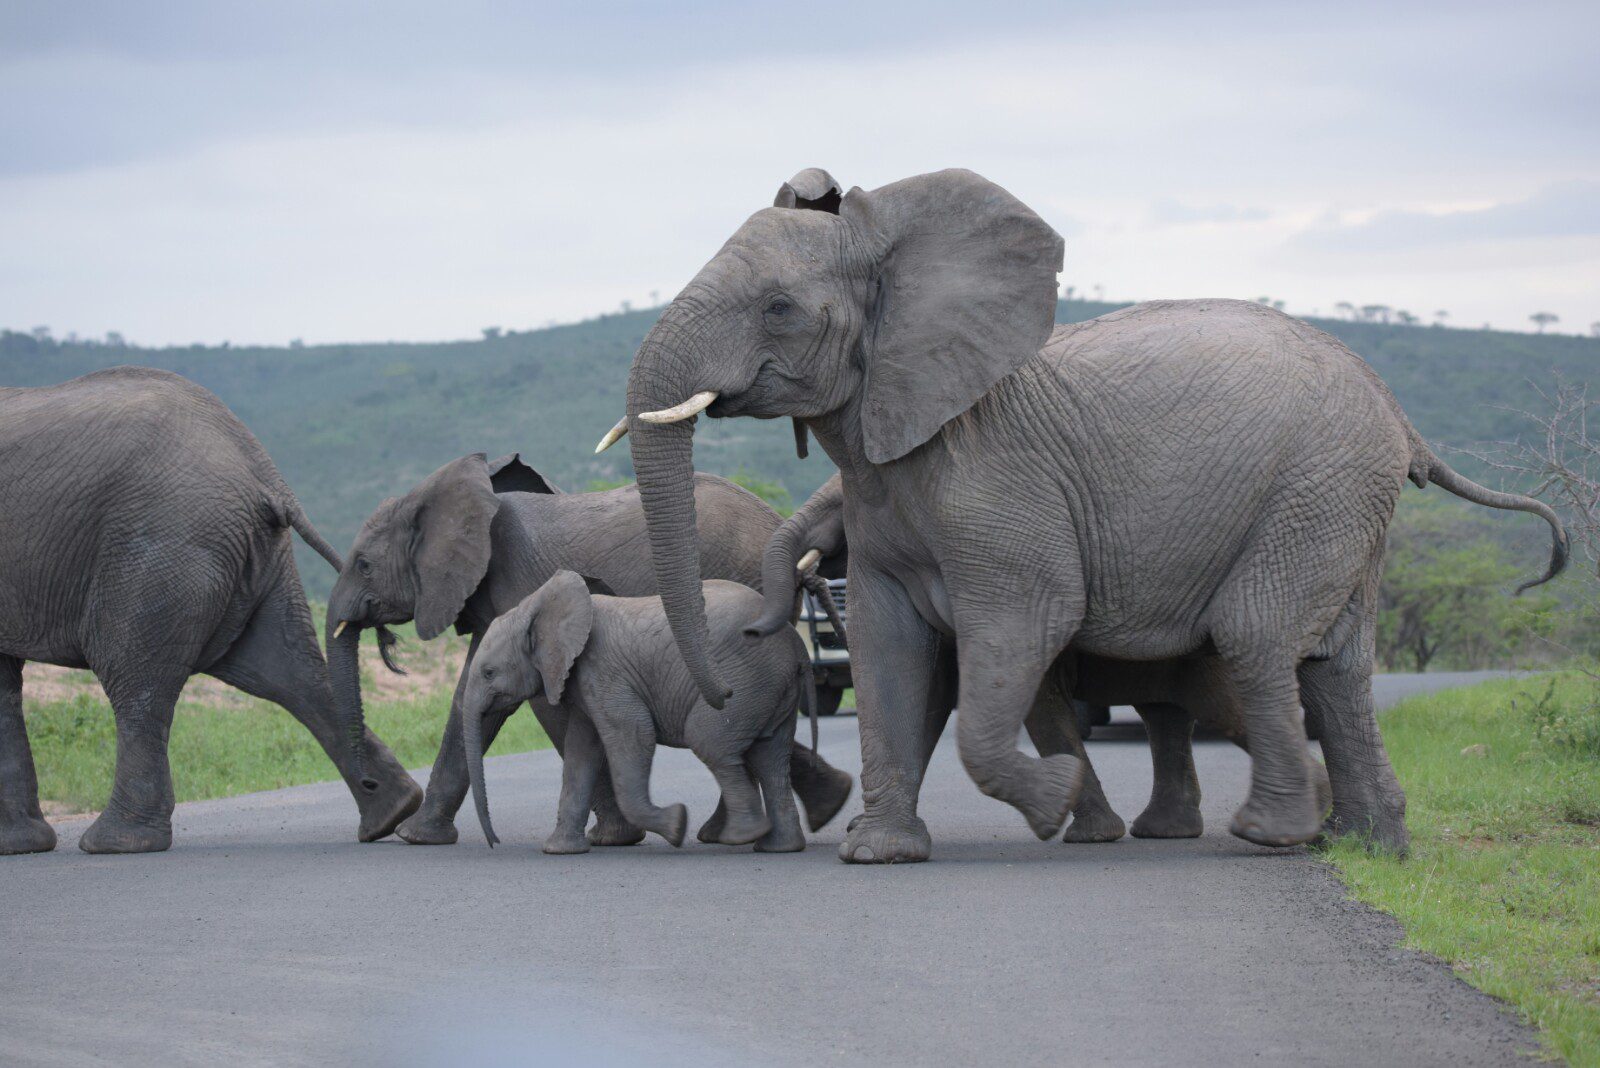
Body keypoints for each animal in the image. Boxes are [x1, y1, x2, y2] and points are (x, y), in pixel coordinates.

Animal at [0, 366, 422, 854]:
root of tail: (262, 471)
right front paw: (19, 845)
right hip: (240, 553)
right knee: (290, 673)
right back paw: (393, 812)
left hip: (165, 545)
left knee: (134, 678)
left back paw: (116, 843)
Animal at [463, 572, 818, 853]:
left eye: (489, 673)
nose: (494, 842)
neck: (537, 607)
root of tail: (797, 645)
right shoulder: (584, 683)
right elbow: (580, 752)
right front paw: (559, 850)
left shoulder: (605, 672)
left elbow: (634, 736)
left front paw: (676, 824)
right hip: (770, 688)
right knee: (771, 755)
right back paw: (778, 847)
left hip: (744, 684)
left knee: (709, 741)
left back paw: (739, 836)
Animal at [608, 166, 1567, 863]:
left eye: (777, 307)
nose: (740, 661)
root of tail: (1397, 412)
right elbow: (889, 649)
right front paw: (880, 855)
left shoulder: (999, 487)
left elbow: (1024, 627)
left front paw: (1057, 800)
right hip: (1345, 501)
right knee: (1335, 664)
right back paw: (1370, 847)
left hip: (1317, 487)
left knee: (1257, 635)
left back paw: (1273, 837)